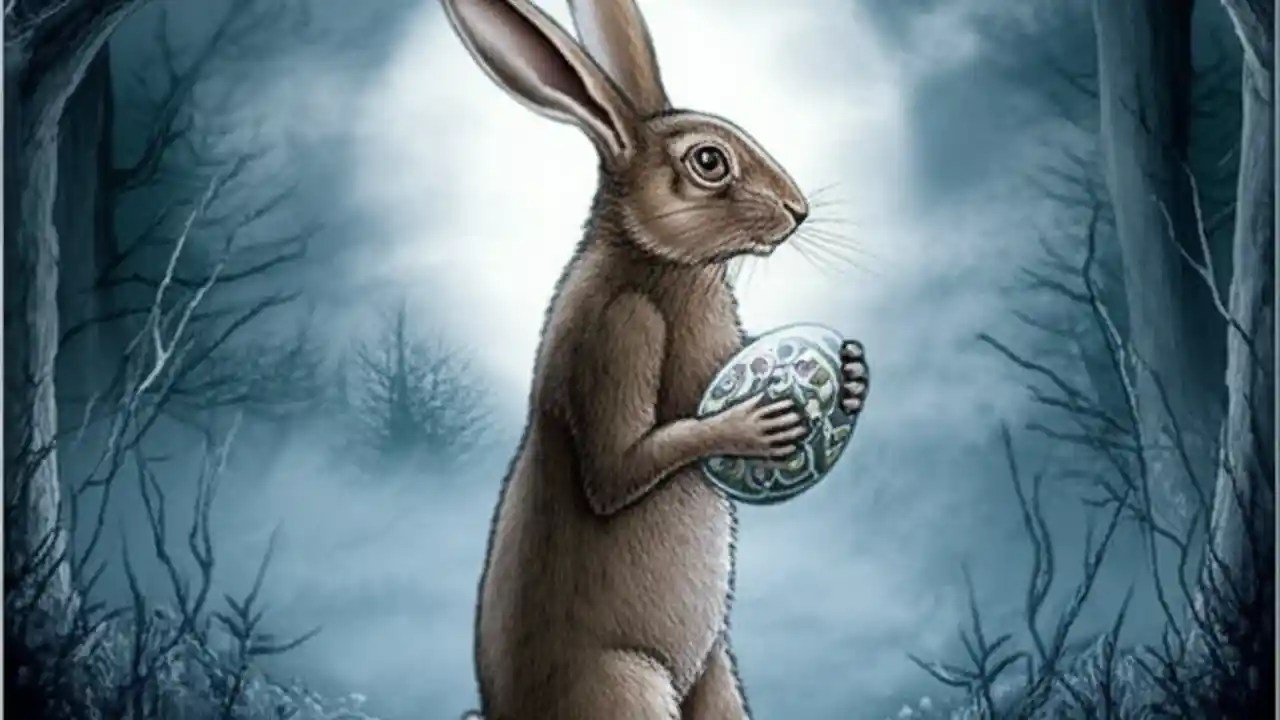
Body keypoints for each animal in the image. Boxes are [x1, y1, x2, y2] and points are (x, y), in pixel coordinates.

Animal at [441, 0, 871, 718]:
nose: (798, 209)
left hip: (715, 674)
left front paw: (856, 375)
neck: (655, 260)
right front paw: (752, 426)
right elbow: (622, 467)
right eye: (709, 161)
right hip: (627, 686)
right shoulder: (621, 333)